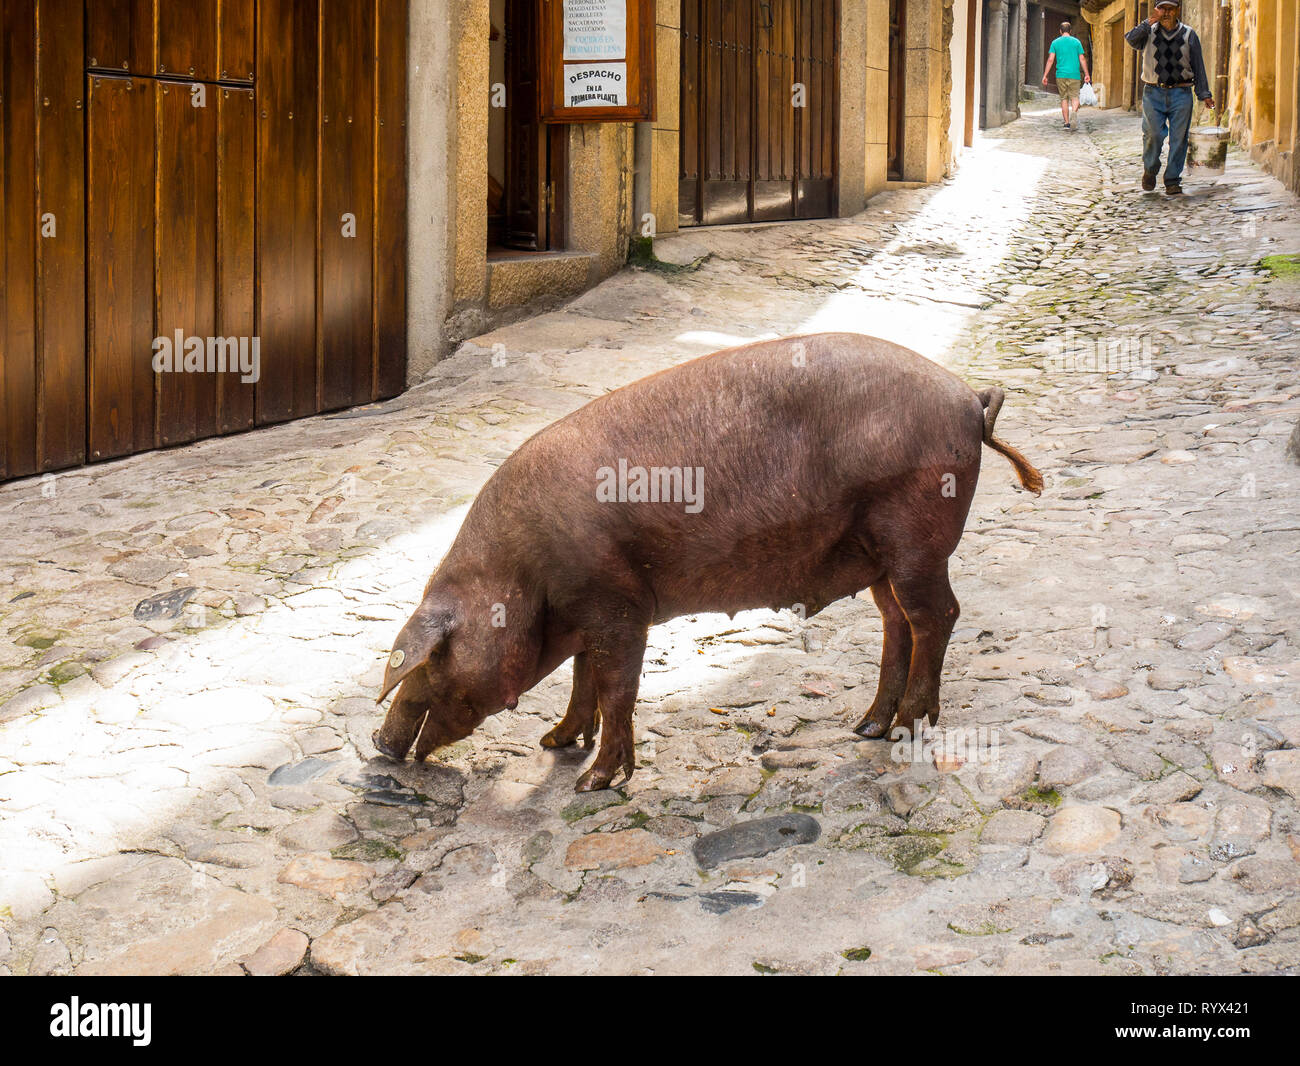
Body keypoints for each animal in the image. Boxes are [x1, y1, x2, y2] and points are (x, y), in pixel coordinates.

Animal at [373, 332, 1042, 792]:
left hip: (917, 541)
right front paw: (553, 742)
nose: (379, 741)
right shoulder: (590, 613)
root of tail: (968, 396)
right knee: (896, 622)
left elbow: (616, 688)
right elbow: (585, 681)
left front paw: (591, 784)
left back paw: (906, 725)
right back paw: (866, 727)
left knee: (938, 616)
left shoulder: (618, 607)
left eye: (432, 661)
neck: (520, 576)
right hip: (881, 558)